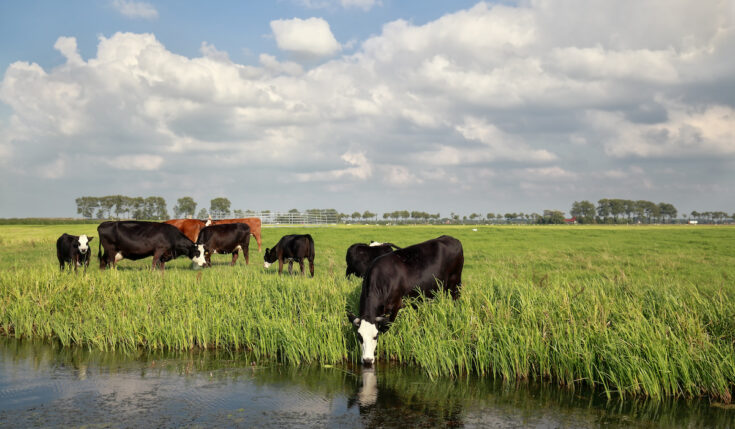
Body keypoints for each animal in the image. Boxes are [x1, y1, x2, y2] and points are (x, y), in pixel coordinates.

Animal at [346, 235, 464, 366]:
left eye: (375, 336)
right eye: (359, 337)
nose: (367, 360)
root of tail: (451, 238)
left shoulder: (396, 305)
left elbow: (388, 326)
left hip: (455, 284)